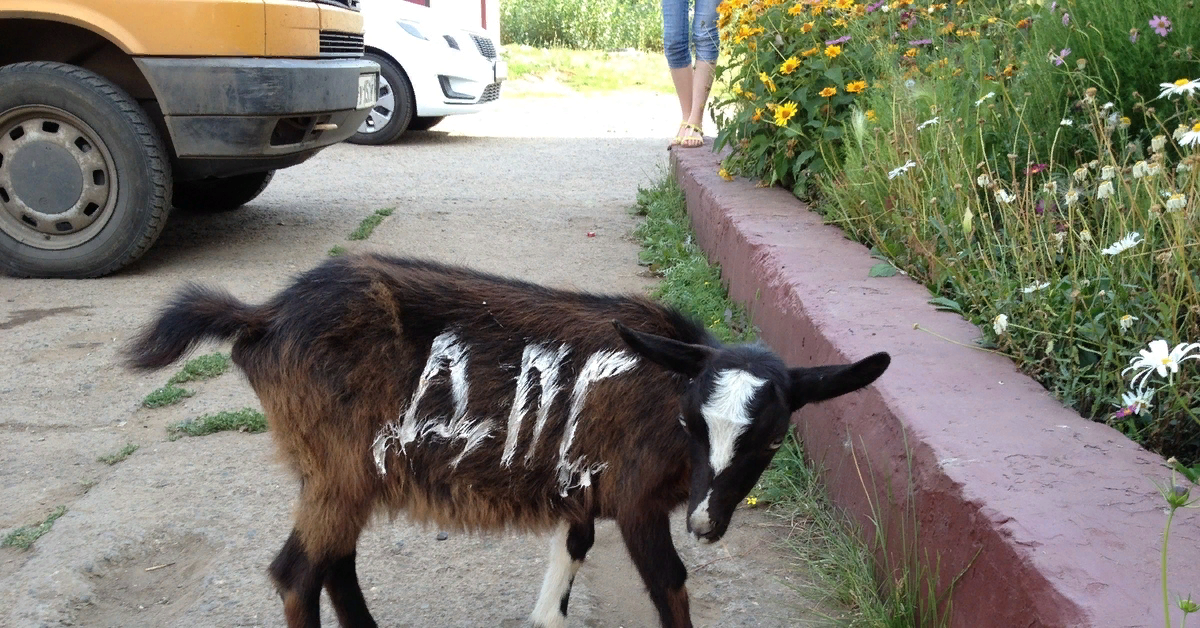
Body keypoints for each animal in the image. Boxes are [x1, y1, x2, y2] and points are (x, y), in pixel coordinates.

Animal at [124, 254, 892, 628]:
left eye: (770, 441)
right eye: (693, 424)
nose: (706, 523)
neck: (664, 383)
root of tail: (262, 317)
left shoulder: (582, 485)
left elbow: (569, 557)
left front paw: (549, 615)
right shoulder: (637, 498)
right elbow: (670, 585)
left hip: (352, 473)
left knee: (333, 563)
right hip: (339, 467)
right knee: (296, 574)